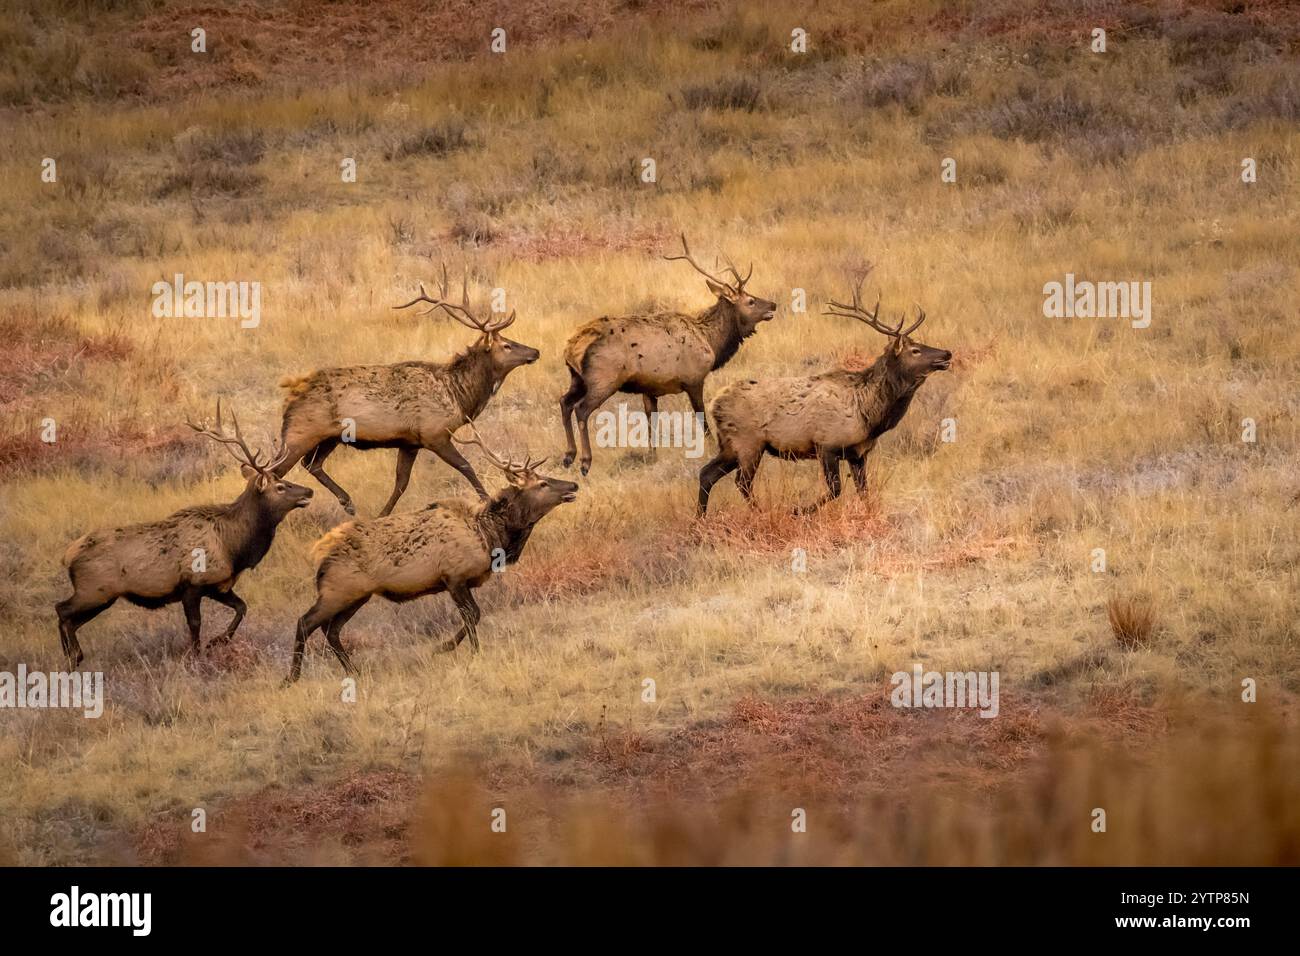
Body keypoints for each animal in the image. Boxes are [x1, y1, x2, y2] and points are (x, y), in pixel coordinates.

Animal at [55, 401, 313, 666]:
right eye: (281, 486)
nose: (309, 491)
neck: (234, 548)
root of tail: (68, 555)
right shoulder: (193, 584)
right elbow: (195, 624)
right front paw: (198, 655)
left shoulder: (218, 585)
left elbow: (242, 607)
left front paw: (217, 641)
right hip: (95, 589)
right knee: (61, 610)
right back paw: (73, 655)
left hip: (101, 596)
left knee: (69, 618)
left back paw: (73, 657)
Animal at [273, 267, 540, 517]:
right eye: (507, 345)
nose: (535, 351)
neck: (459, 396)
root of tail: (292, 394)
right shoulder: (435, 434)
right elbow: (466, 467)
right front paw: (486, 501)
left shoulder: (410, 442)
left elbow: (401, 483)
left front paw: (381, 515)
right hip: (300, 432)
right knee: (275, 471)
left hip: (330, 436)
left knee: (311, 464)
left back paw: (347, 502)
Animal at [284, 425, 579, 684]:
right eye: (543, 483)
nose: (573, 485)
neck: (490, 537)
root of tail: (321, 553)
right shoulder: (454, 576)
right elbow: (473, 614)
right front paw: (455, 649)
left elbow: (472, 615)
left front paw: (451, 648)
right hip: (338, 591)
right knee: (305, 622)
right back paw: (292, 677)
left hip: (357, 595)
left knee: (331, 629)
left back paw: (352, 670)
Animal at [559, 234, 777, 474]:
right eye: (751, 301)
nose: (773, 304)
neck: (711, 341)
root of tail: (572, 347)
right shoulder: (694, 378)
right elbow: (701, 415)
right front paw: (710, 446)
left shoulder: (649, 388)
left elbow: (651, 422)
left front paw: (652, 455)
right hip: (603, 378)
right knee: (581, 409)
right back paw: (585, 462)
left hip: (577, 378)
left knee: (564, 402)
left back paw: (568, 456)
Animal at [698, 277, 952, 516]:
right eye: (915, 350)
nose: (947, 353)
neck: (869, 415)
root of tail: (715, 404)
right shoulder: (827, 444)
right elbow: (835, 489)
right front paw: (797, 510)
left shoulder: (858, 453)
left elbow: (864, 493)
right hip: (748, 442)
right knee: (742, 482)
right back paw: (762, 513)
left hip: (730, 445)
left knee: (706, 473)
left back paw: (700, 517)